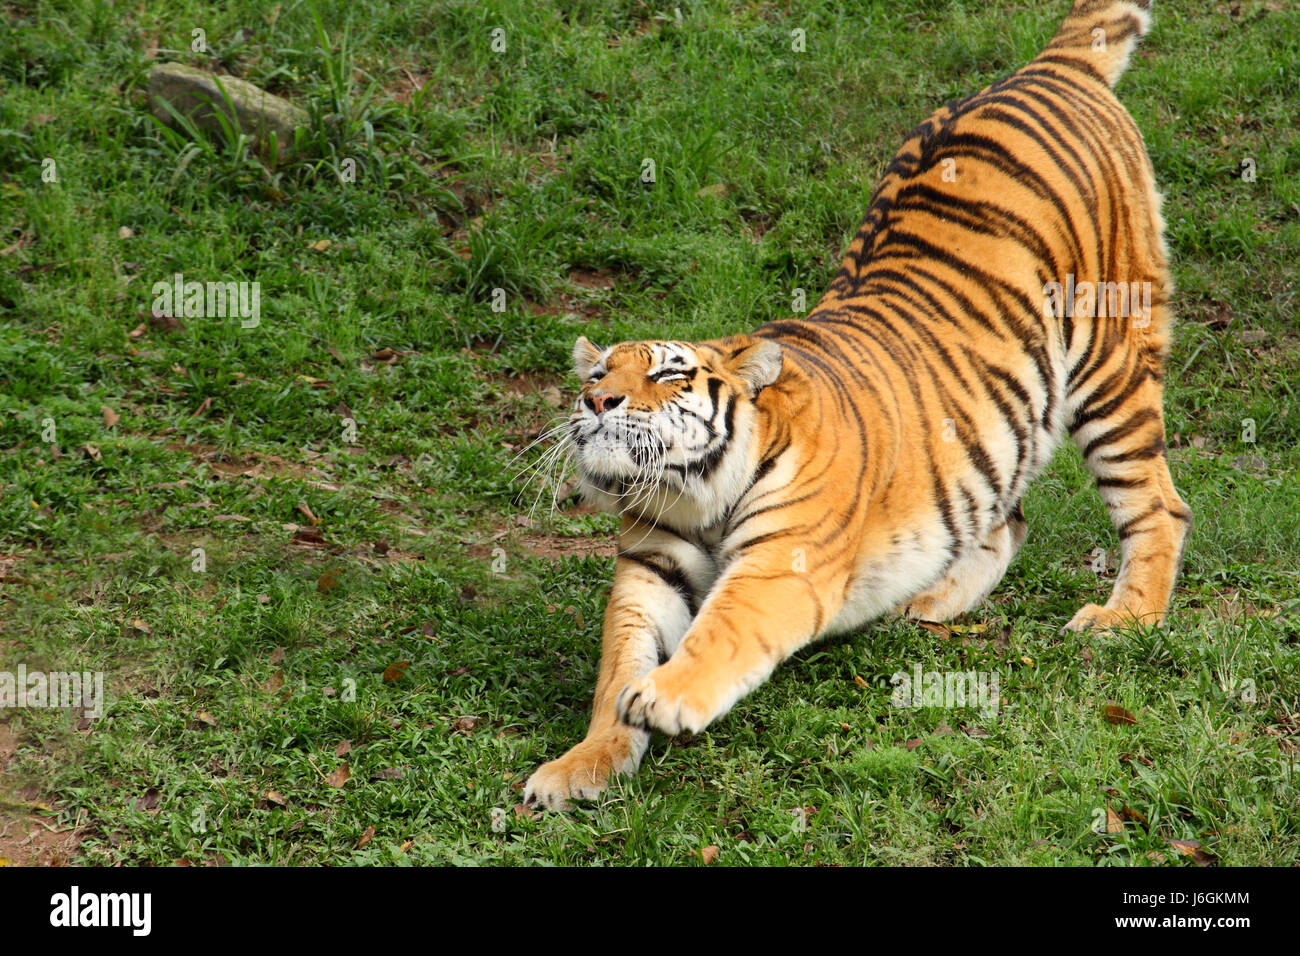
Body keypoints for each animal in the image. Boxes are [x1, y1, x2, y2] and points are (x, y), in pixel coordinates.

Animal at [523, 0, 1192, 810]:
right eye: (597, 374)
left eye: (669, 374)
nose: (599, 400)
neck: (693, 493)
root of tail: (1049, 66)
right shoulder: (649, 571)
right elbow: (616, 662)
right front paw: (582, 764)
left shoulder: (783, 562)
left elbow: (722, 631)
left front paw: (662, 699)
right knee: (1008, 517)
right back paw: (929, 599)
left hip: (1112, 360)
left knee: (1159, 504)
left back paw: (1124, 620)